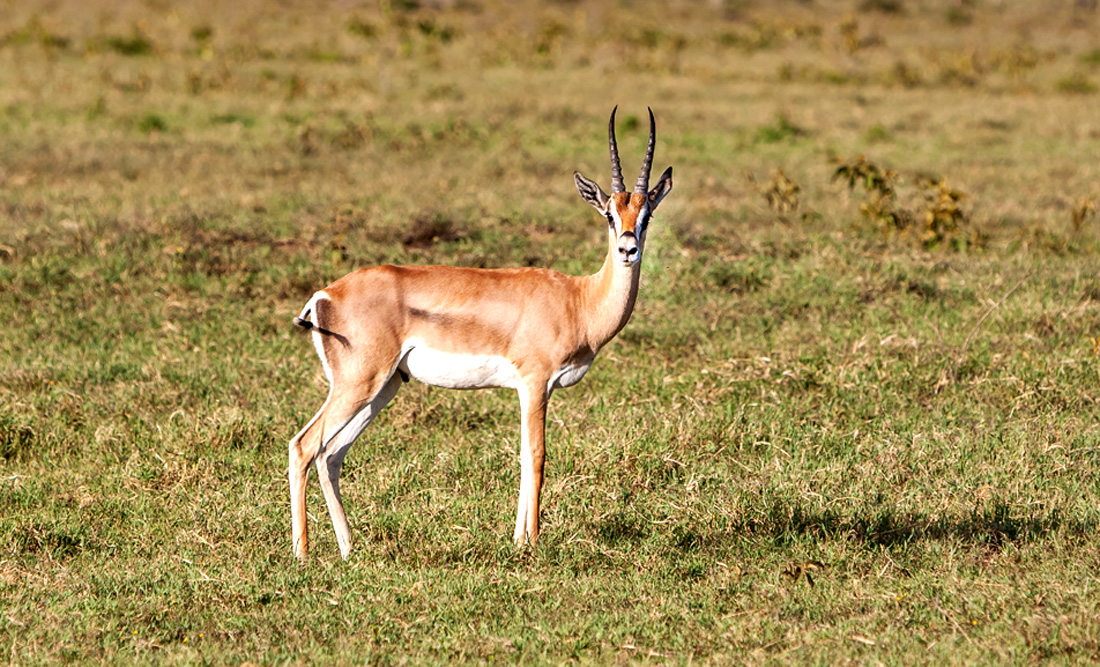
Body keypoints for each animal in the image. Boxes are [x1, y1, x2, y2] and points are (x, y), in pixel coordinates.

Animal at [289, 107, 673, 560]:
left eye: (646, 215)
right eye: (610, 214)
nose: (628, 249)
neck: (579, 300)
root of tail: (326, 294)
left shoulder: (531, 390)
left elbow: (523, 456)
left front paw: (518, 539)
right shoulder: (535, 382)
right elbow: (537, 455)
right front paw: (533, 543)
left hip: (383, 387)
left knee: (330, 455)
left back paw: (350, 550)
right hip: (357, 383)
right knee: (304, 446)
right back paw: (303, 555)